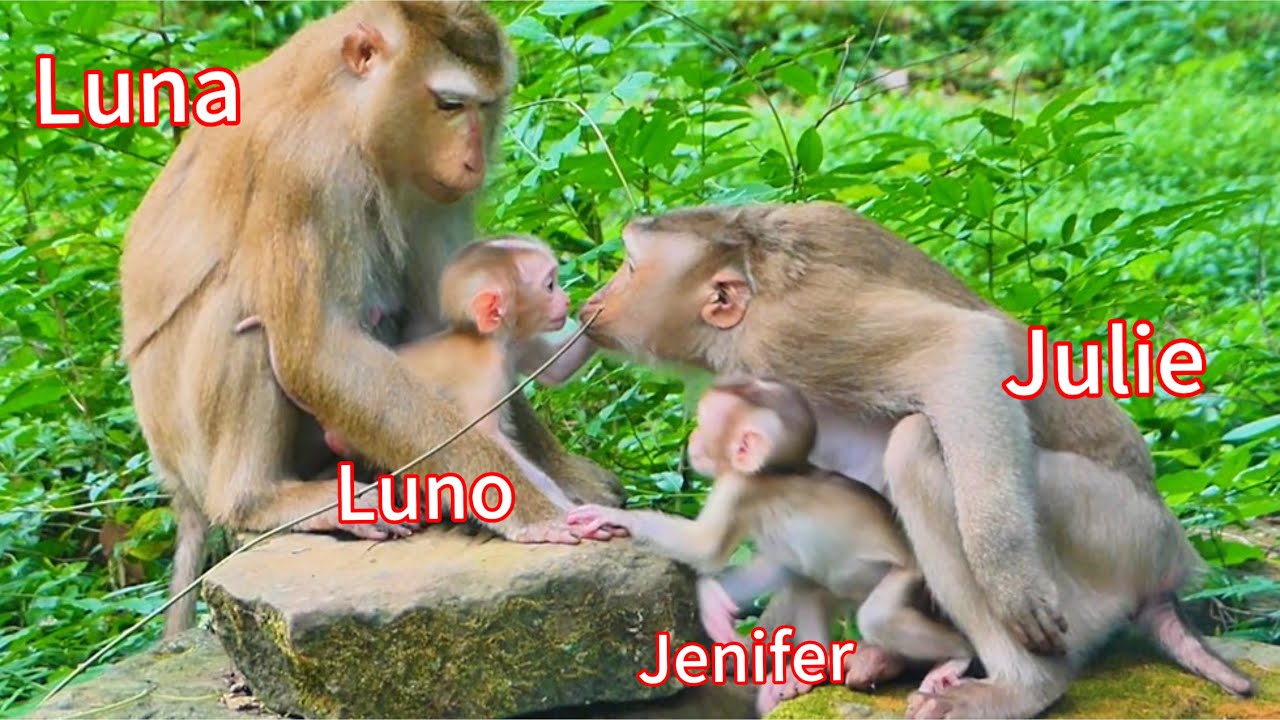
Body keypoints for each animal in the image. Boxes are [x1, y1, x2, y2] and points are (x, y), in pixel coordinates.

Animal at [119, 1, 622, 639]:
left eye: (486, 106)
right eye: (449, 104)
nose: (474, 160)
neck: (353, 113)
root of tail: (177, 485)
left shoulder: (433, 188)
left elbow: (447, 321)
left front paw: (565, 472)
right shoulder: (303, 166)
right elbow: (318, 350)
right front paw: (530, 510)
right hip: (187, 439)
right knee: (250, 316)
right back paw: (258, 499)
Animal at [567, 376, 974, 716]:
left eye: (705, 423)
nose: (693, 440)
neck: (772, 471)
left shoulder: (737, 488)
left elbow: (706, 549)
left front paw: (616, 518)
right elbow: (781, 566)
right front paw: (711, 600)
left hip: (911, 577)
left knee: (877, 616)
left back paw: (956, 657)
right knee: (808, 584)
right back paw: (811, 672)